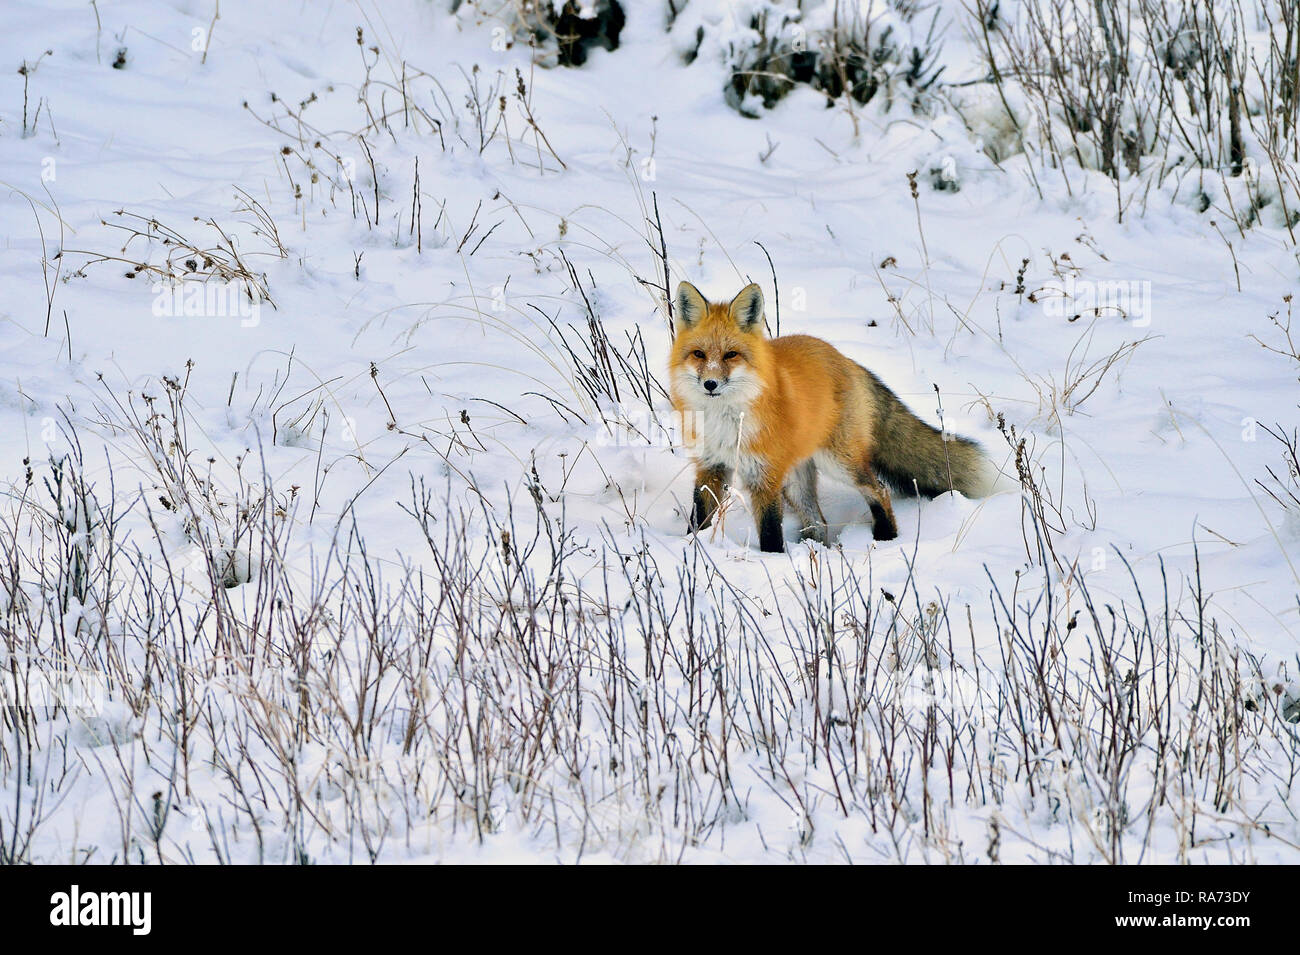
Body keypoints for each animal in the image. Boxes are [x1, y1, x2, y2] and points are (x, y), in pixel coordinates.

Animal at [668, 280, 995, 553]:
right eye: (699, 354)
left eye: (731, 355)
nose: (710, 384)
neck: (724, 420)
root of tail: (846, 359)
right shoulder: (710, 466)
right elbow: (699, 519)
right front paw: (693, 547)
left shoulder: (766, 475)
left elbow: (770, 532)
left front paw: (772, 560)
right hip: (796, 480)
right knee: (818, 520)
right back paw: (816, 551)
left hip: (838, 462)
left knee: (879, 491)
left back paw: (886, 539)